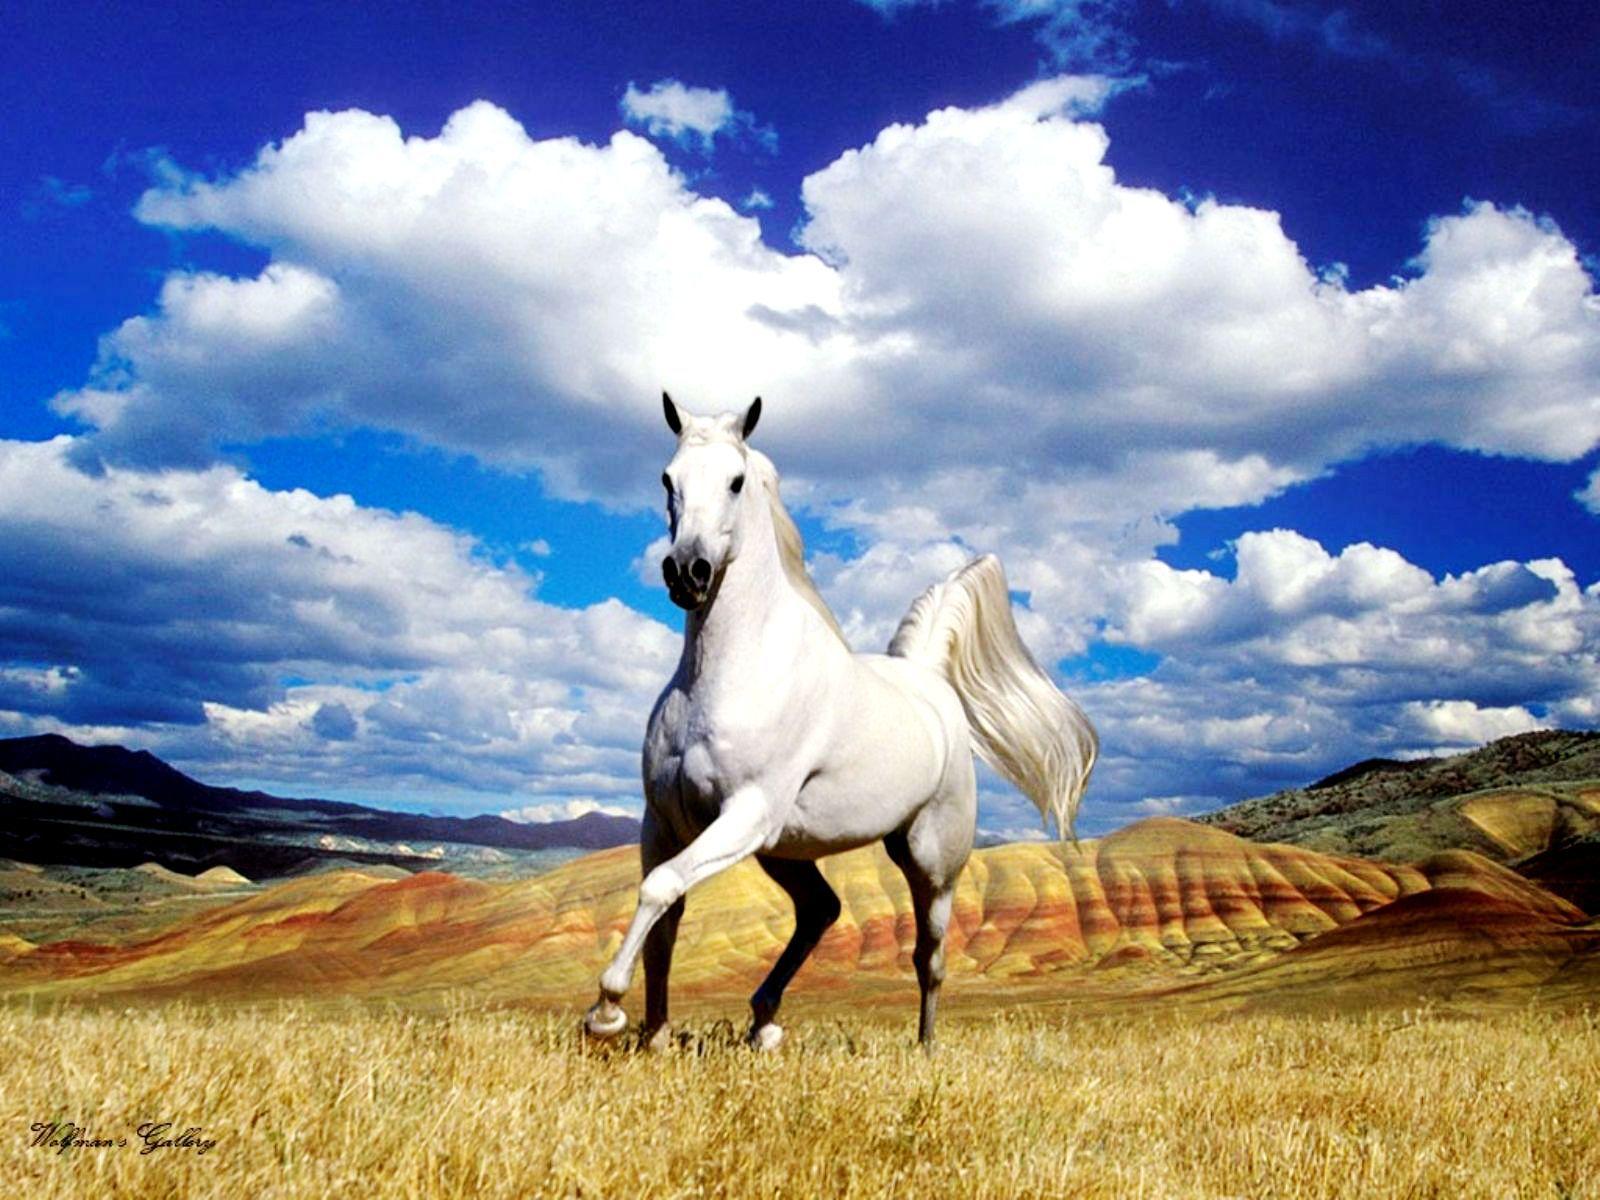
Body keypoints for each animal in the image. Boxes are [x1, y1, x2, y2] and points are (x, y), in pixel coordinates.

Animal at [583, 394, 1098, 1049]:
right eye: (667, 479)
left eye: (736, 480)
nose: (687, 572)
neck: (723, 676)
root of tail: (929, 681)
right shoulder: (666, 820)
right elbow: (665, 919)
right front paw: (652, 1038)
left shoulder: (744, 811)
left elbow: (660, 888)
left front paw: (606, 1011)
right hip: (784, 849)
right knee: (820, 910)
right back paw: (764, 1023)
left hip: (930, 861)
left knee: (929, 957)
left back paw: (923, 1049)